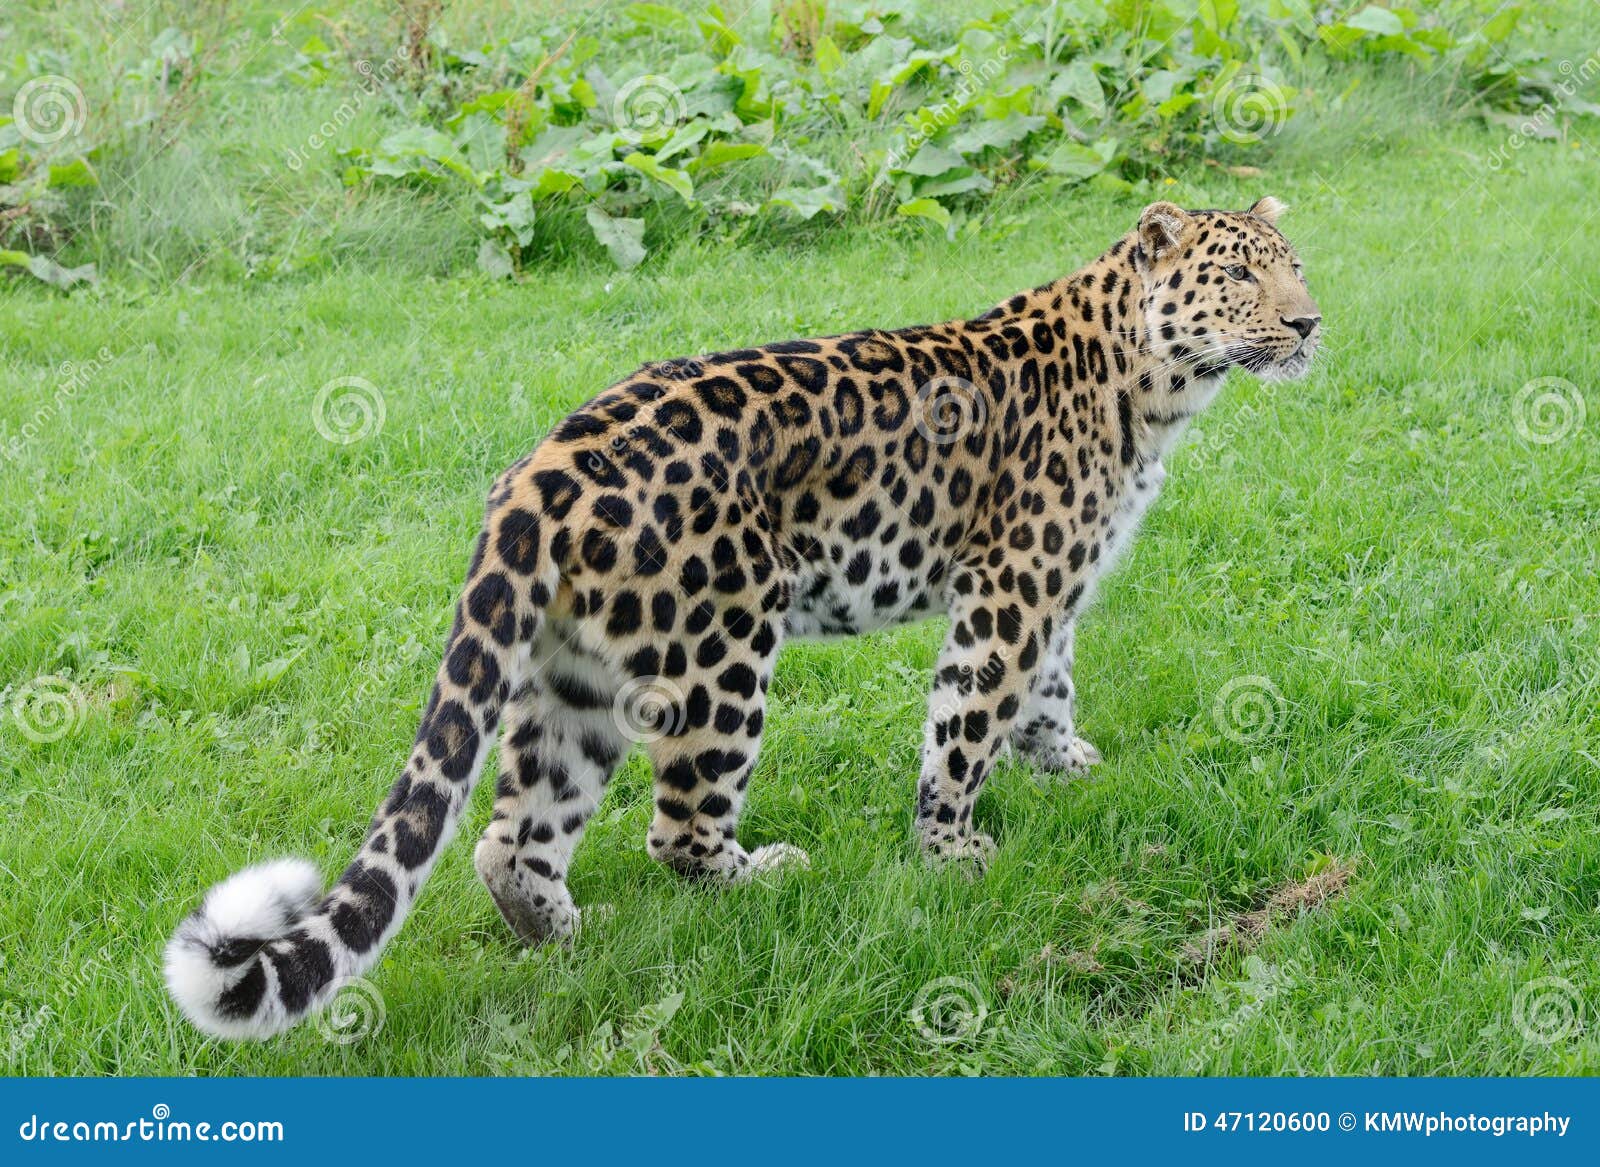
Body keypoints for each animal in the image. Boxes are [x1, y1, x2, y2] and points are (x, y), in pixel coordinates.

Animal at [165, 197, 1320, 1038]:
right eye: (1237, 275)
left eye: (1294, 264)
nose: (1309, 321)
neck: (1154, 387)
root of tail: (541, 467)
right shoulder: (1011, 586)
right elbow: (967, 718)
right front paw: (949, 847)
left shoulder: (1054, 588)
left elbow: (1045, 690)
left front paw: (1069, 766)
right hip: (722, 650)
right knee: (676, 826)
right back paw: (761, 879)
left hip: (575, 675)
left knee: (511, 834)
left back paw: (567, 939)